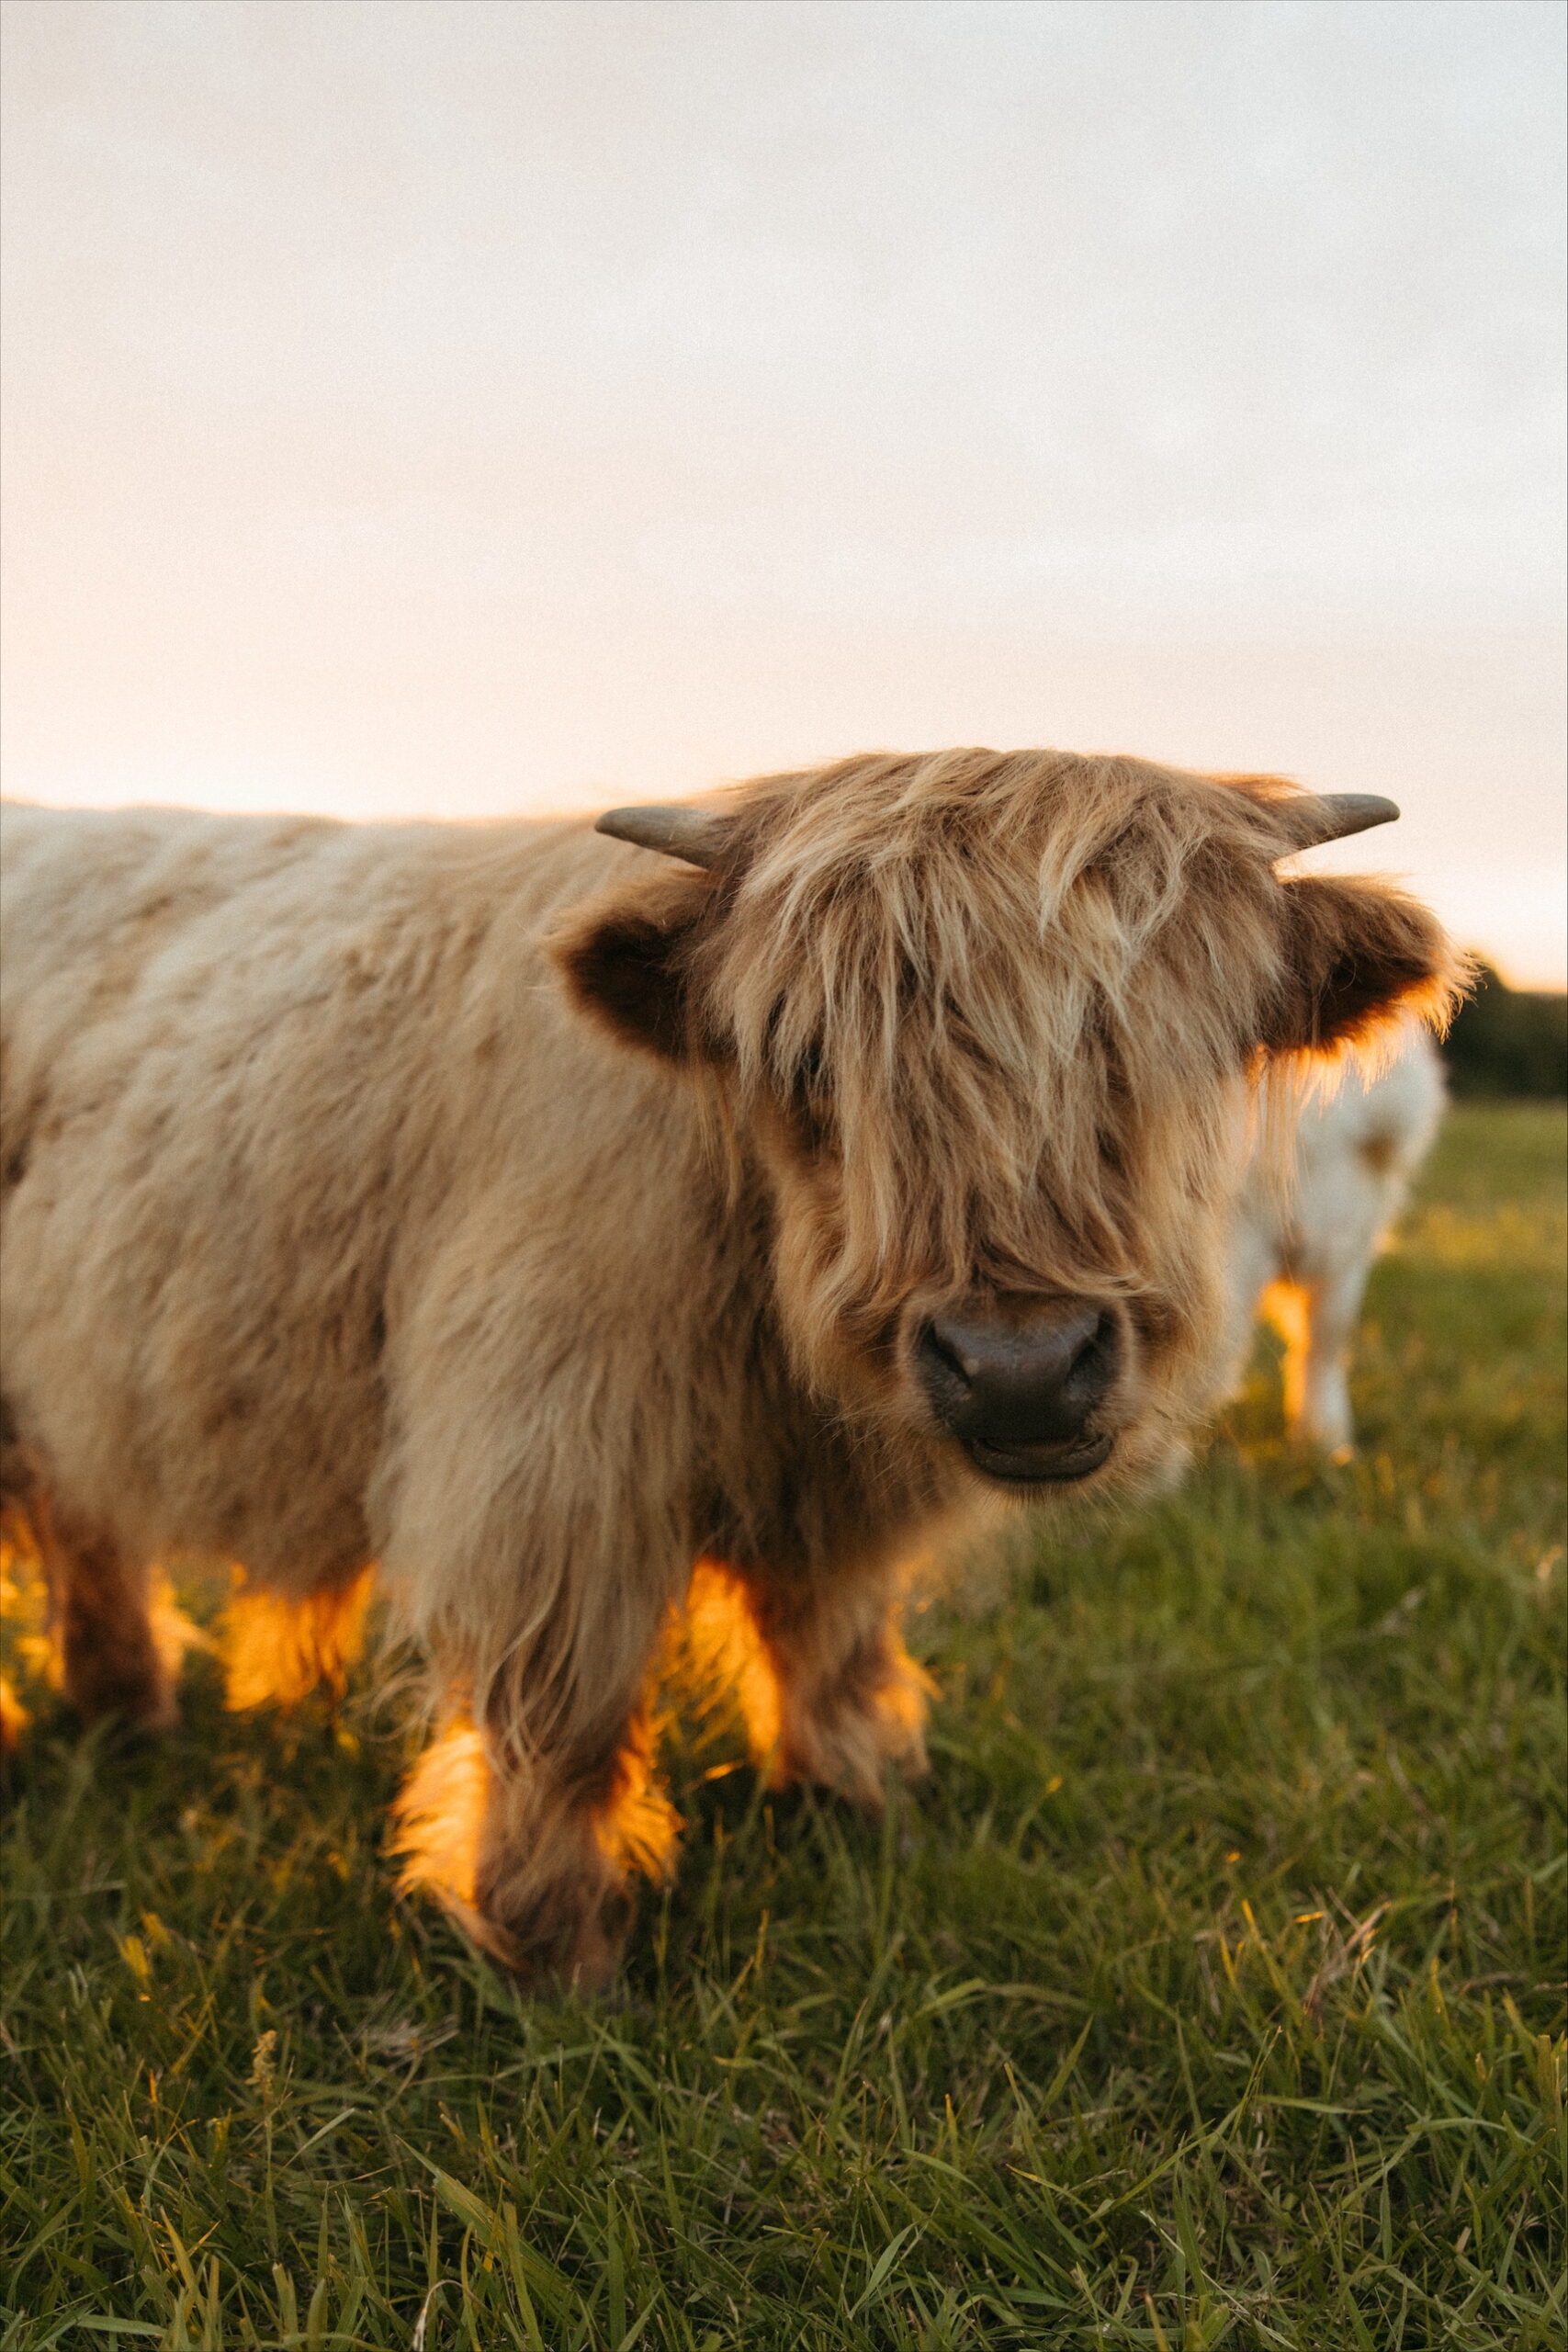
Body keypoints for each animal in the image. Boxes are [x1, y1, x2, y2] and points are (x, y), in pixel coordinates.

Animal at [0, 749, 1459, 1984]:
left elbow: (829, 1632)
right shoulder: (550, 1450)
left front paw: (855, 1797)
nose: (1021, 1366)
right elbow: (564, 1702)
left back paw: (124, 1707)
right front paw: (551, 1949)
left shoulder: (834, 1486)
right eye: (808, 1062)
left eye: (1166, 1050)